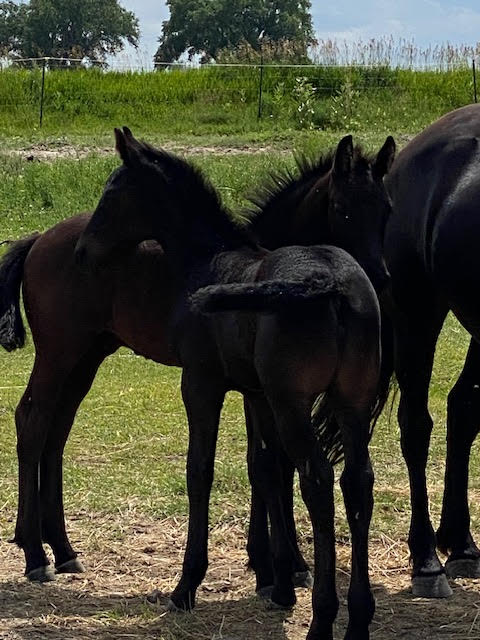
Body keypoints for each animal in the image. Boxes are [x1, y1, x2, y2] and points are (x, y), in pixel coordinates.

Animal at [0, 132, 395, 593]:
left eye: (385, 209)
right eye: (342, 208)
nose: (379, 277)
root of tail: (40, 238)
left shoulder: (253, 389)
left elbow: (266, 464)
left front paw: (275, 564)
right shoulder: (239, 387)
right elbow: (263, 465)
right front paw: (278, 564)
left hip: (86, 356)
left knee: (56, 430)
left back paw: (60, 548)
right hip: (59, 352)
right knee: (32, 422)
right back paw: (35, 553)